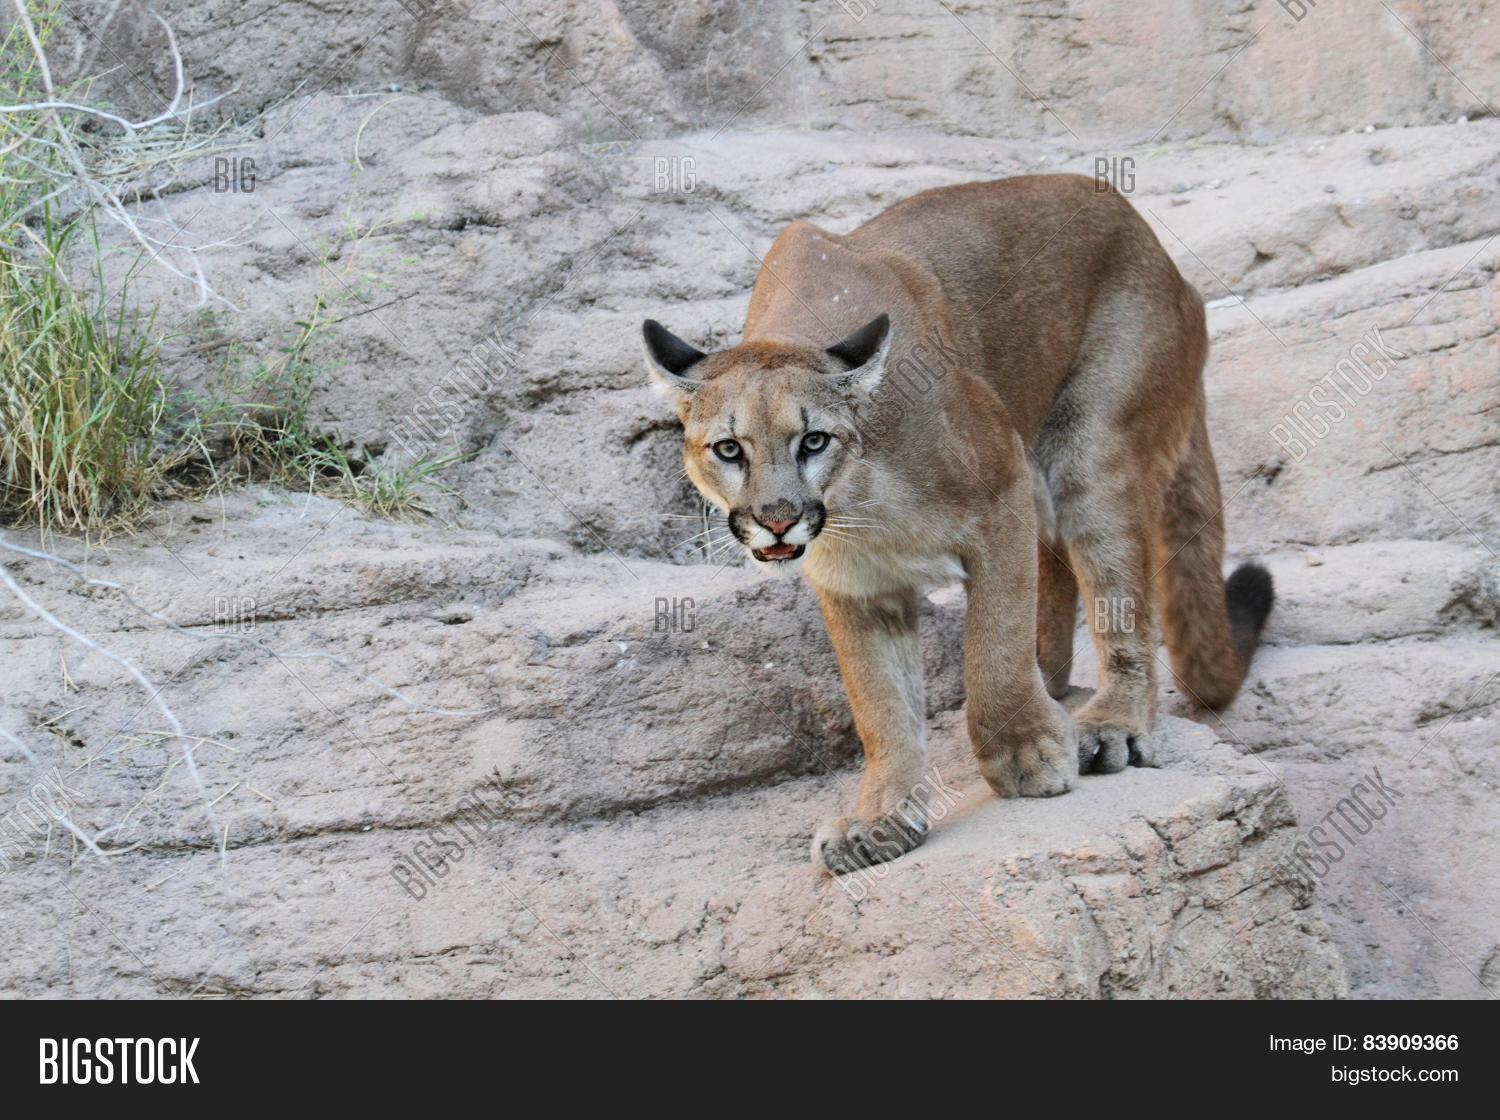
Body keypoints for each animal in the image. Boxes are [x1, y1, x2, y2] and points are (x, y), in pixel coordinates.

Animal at [642, 174, 1273, 874]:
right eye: (730, 450)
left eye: (813, 441)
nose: (778, 521)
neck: (861, 504)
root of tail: (1159, 251)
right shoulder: (855, 583)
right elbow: (881, 705)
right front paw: (883, 819)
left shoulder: (1001, 495)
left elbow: (993, 647)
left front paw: (1024, 755)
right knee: (1054, 575)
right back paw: (1054, 687)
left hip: (1095, 447)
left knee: (1117, 592)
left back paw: (1111, 725)